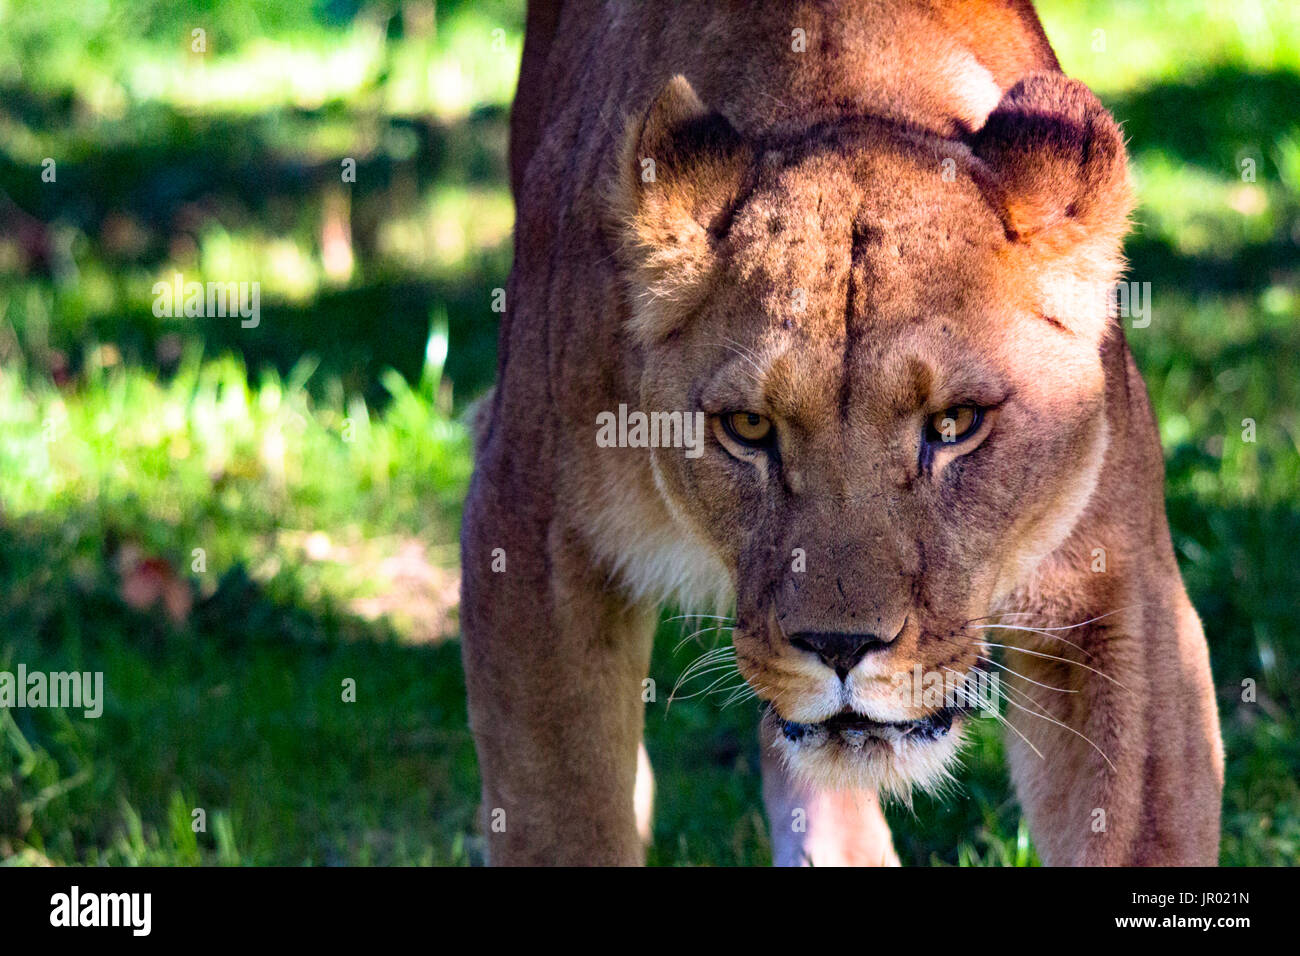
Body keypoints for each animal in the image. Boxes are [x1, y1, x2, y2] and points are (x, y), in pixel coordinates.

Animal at [461, 0, 1224, 866]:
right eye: (748, 427)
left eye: (955, 424)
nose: (839, 646)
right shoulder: (530, 534)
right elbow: (563, 817)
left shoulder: (1118, 584)